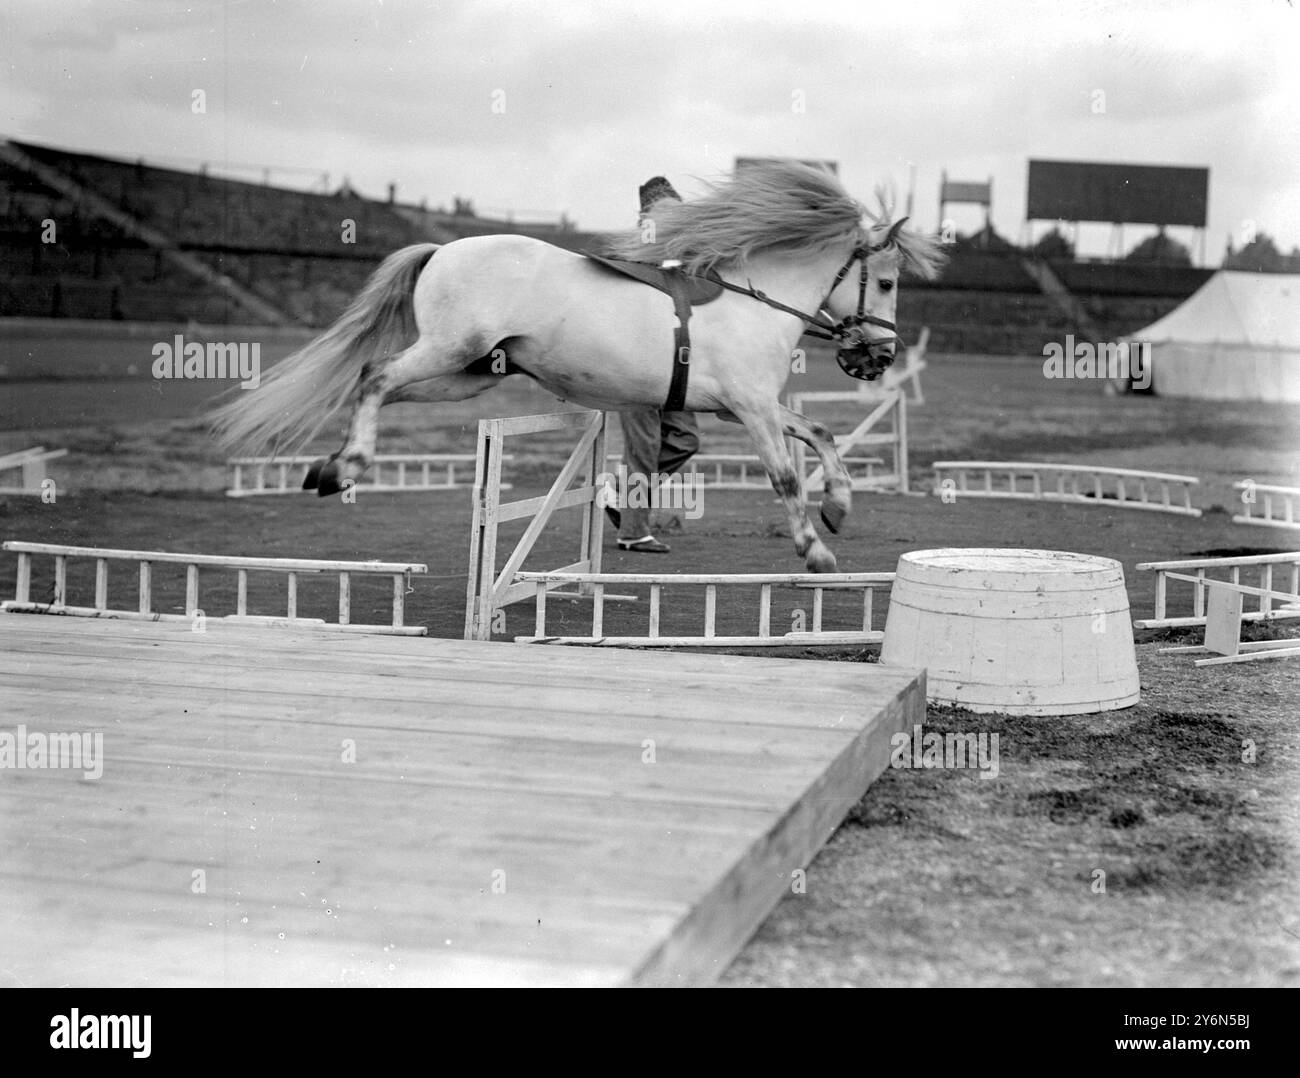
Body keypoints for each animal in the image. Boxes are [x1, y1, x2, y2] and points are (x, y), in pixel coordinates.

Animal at [212, 161, 945, 572]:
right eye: (884, 282)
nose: (878, 357)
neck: (752, 298)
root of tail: (443, 248)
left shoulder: (747, 407)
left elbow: (820, 434)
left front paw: (840, 508)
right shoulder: (751, 408)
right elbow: (787, 476)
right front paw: (816, 549)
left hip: (467, 374)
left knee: (380, 388)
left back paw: (336, 466)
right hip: (449, 352)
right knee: (375, 377)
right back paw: (346, 467)